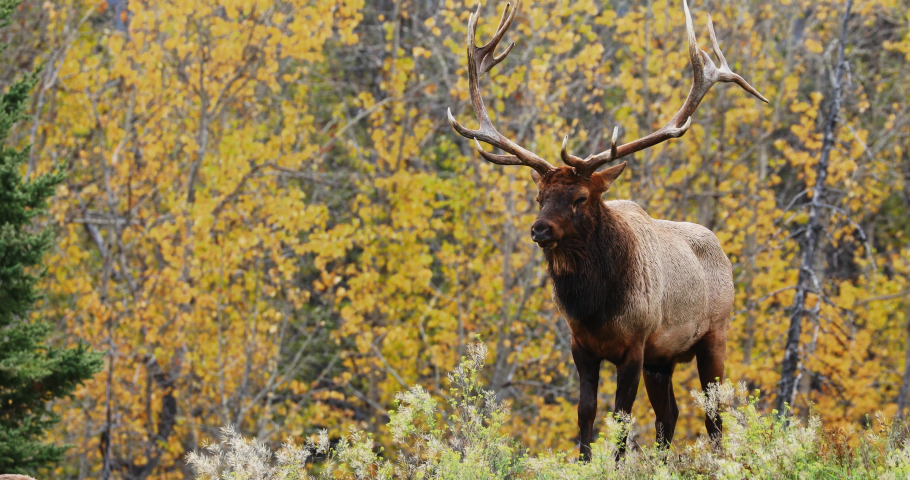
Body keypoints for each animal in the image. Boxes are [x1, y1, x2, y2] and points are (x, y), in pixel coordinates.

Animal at [446, 0, 767, 460]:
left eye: (581, 197)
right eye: (539, 196)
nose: (539, 229)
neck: (595, 306)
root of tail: (721, 251)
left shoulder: (634, 343)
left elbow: (620, 419)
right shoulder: (581, 345)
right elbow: (586, 413)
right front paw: (584, 460)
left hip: (714, 333)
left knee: (714, 414)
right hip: (663, 358)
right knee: (668, 415)